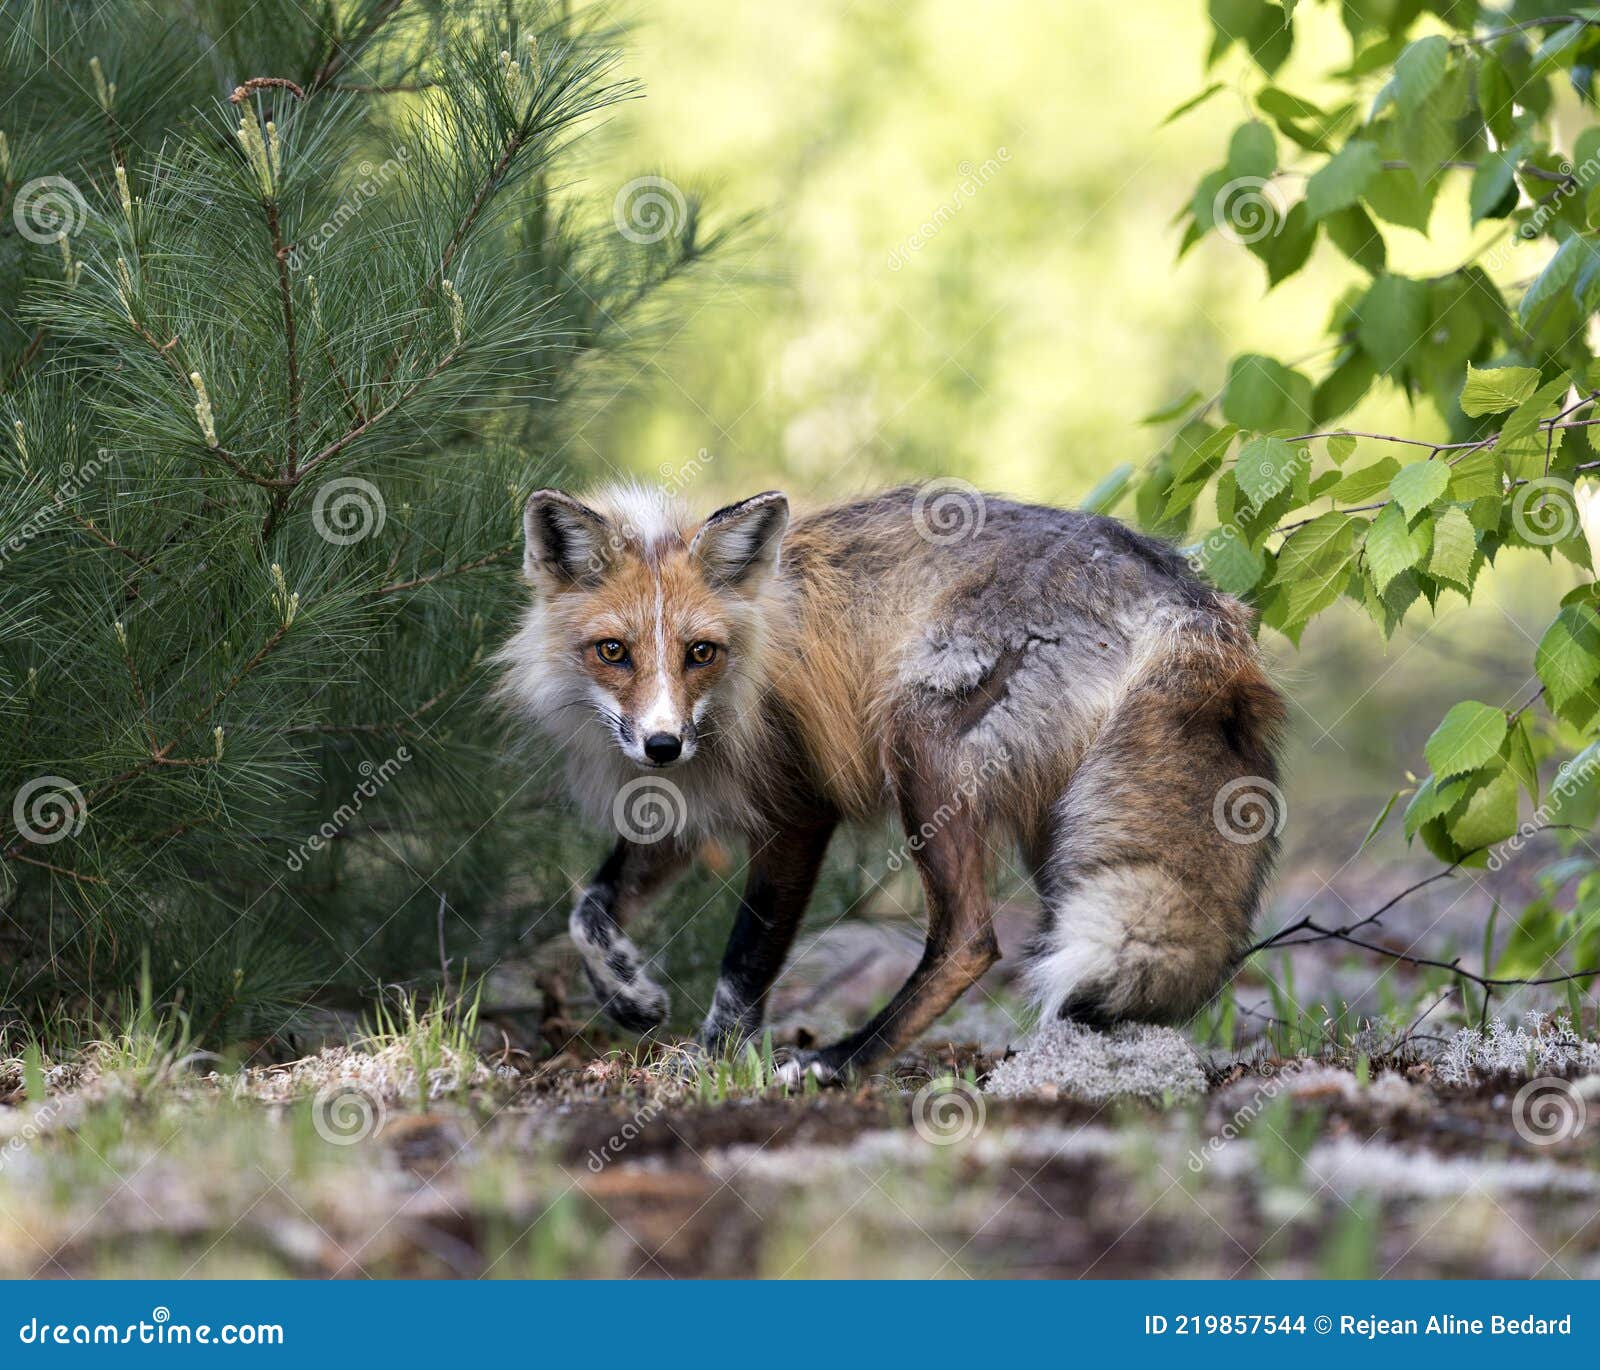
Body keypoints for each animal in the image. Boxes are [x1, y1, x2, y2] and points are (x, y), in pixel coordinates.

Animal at [496, 481, 1286, 1082]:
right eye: (613, 652)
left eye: (699, 652)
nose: (662, 744)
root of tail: (1187, 594)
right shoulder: (683, 806)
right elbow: (588, 909)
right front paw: (627, 995)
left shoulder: (798, 808)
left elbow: (745, 962)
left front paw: (711, 1065)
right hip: (1064, 827)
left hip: (920, 746)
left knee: (969, 940)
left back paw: (844, 1061)